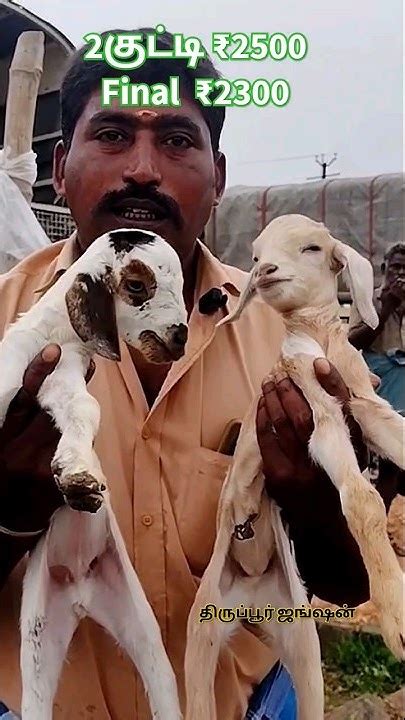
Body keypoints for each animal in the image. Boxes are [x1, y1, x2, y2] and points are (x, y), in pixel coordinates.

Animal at [0, 228, 187, 720]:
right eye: (137, 286)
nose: (181, 336)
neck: (50, 335)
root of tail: (80, 595)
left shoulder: (64, 372)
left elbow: (85, 408)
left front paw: (77, 474)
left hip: (138, 625)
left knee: (162, 682)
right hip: (39, 634)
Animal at [184, 214, 405, 720]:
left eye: (311, 248)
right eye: (255, 254)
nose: (265, 271)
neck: (319, 339)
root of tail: (249, 603)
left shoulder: (364, 403)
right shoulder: (319, 414)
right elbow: (361, 498)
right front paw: (398, 615)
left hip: (302, 644)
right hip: (199, 641)